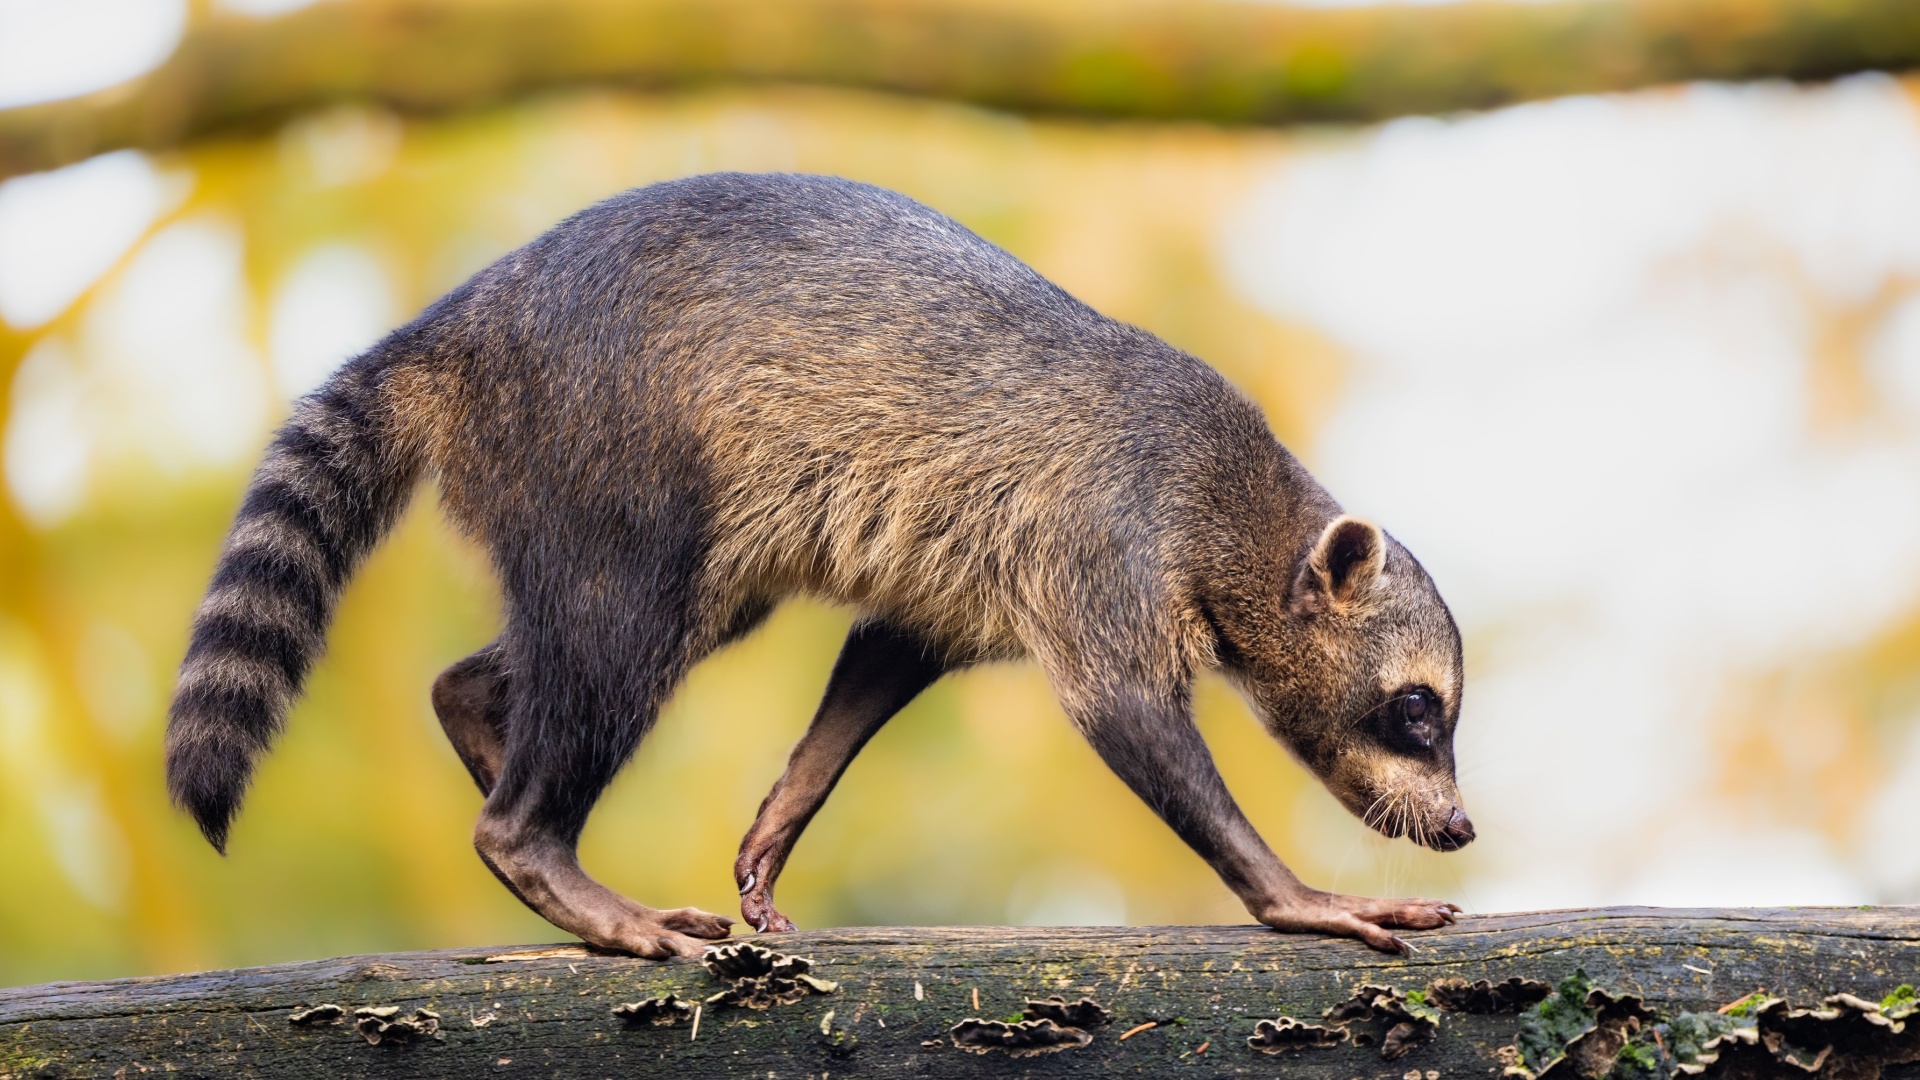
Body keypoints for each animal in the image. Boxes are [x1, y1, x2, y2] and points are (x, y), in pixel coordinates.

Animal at [166, 172, 1472, 958]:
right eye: (1418, 710)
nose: (1461, 826)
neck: (1248, 514)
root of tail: (470, 316)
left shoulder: (970, 574)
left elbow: (884, 660)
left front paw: (788, 807)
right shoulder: (1104, 535)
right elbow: (1124, 709)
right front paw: (1292, 896)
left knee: (591, 642)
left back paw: (486, 719)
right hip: (603, 447)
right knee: (614, 636)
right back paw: (532, 834)